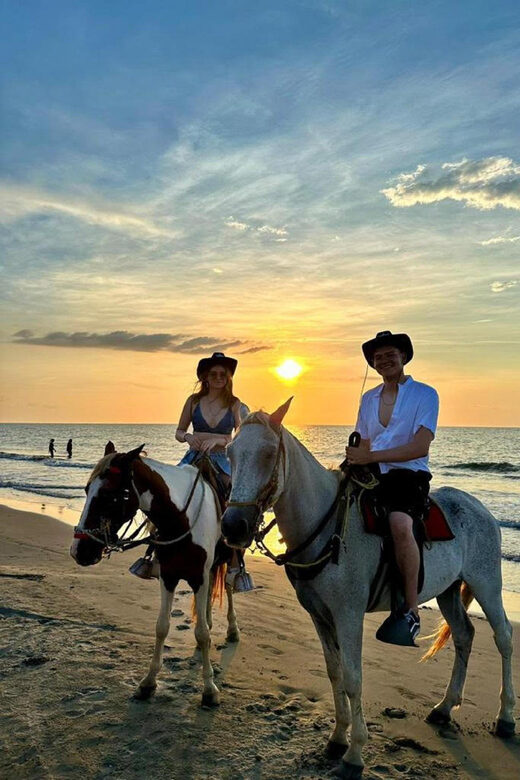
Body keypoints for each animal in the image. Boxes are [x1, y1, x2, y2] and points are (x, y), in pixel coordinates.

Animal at [70, 442, 240, 707]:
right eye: (87, 489)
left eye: (109, 494)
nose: (79, 551)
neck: (180, 519)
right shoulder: (168, 577)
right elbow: (162, 626)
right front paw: (148, 683)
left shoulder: (198, 578)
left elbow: (202, 634)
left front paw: (209, 689)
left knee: (229, 587)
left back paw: (232, 629)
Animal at [221, 401, 516, 779]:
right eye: (230, 452)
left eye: (269, 453)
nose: (233, 526)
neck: (327, 527)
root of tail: (479, 508)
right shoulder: (320, 615)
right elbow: (334, 673)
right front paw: (336, 739)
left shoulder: (348, 616)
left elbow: (353, 678)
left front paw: (354, 753)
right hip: (449, 590)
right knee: (464, 634)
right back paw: (444, 707)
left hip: (487, 582)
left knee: (504, 637)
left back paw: (505, 717)